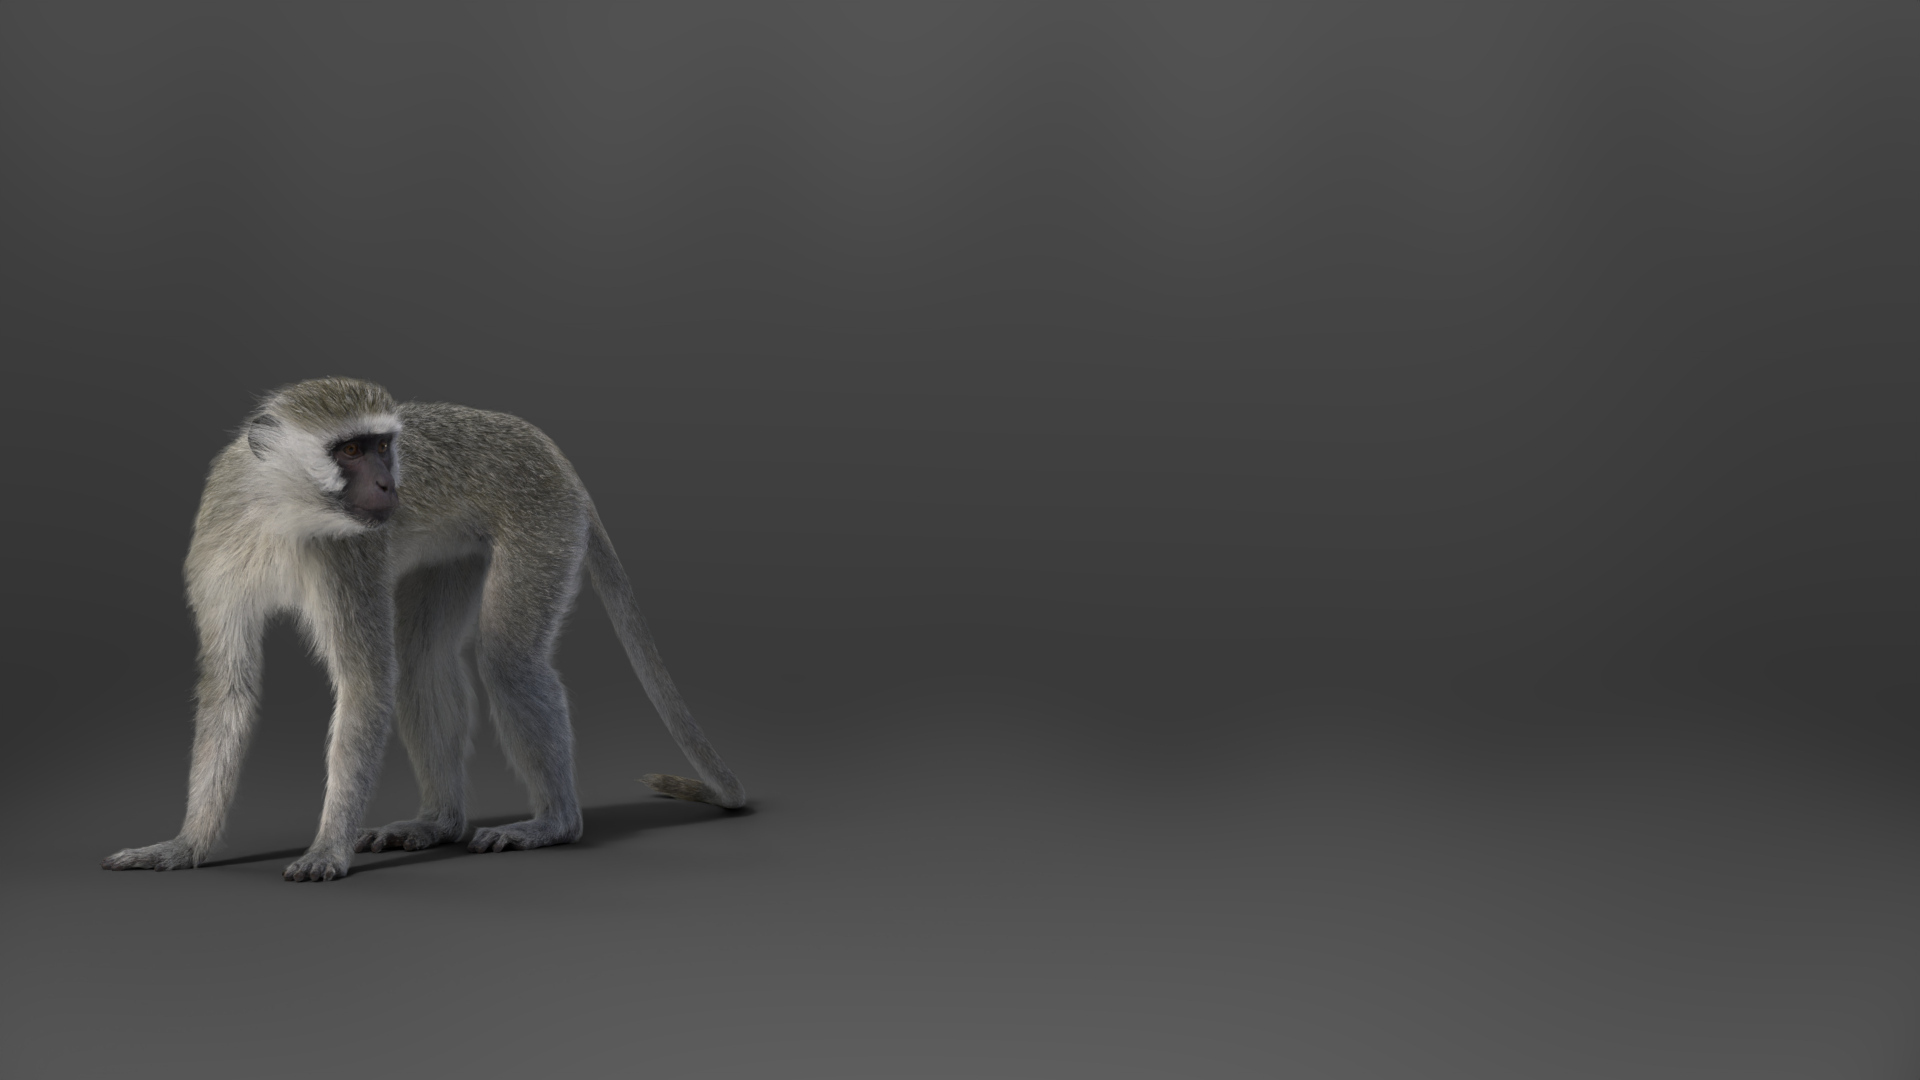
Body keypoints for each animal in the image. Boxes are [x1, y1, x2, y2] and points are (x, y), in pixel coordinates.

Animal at [102, 377, 744, 882]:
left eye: (385, 447)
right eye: (350, 449)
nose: (391, 486)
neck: (279, 512)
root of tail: (552, 451)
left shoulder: (348, 557)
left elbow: (366, 685)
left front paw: (327, 848)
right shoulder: (218, 547)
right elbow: (230, 689)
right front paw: (186, 845)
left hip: (545, 519)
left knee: (508, 660)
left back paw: (554, 824)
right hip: (459, 550)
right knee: (423, 661)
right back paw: (440, 823)